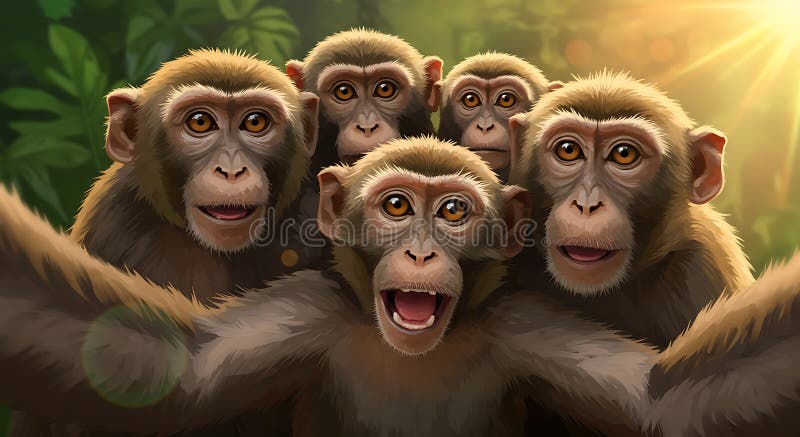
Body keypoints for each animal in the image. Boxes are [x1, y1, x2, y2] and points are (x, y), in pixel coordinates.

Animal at [0, 138, 659, 436]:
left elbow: (651, 399)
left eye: (453, 212)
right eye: (396, 206)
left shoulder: (524, 326)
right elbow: (170, 366)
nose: (421, 252)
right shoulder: (305, 312)